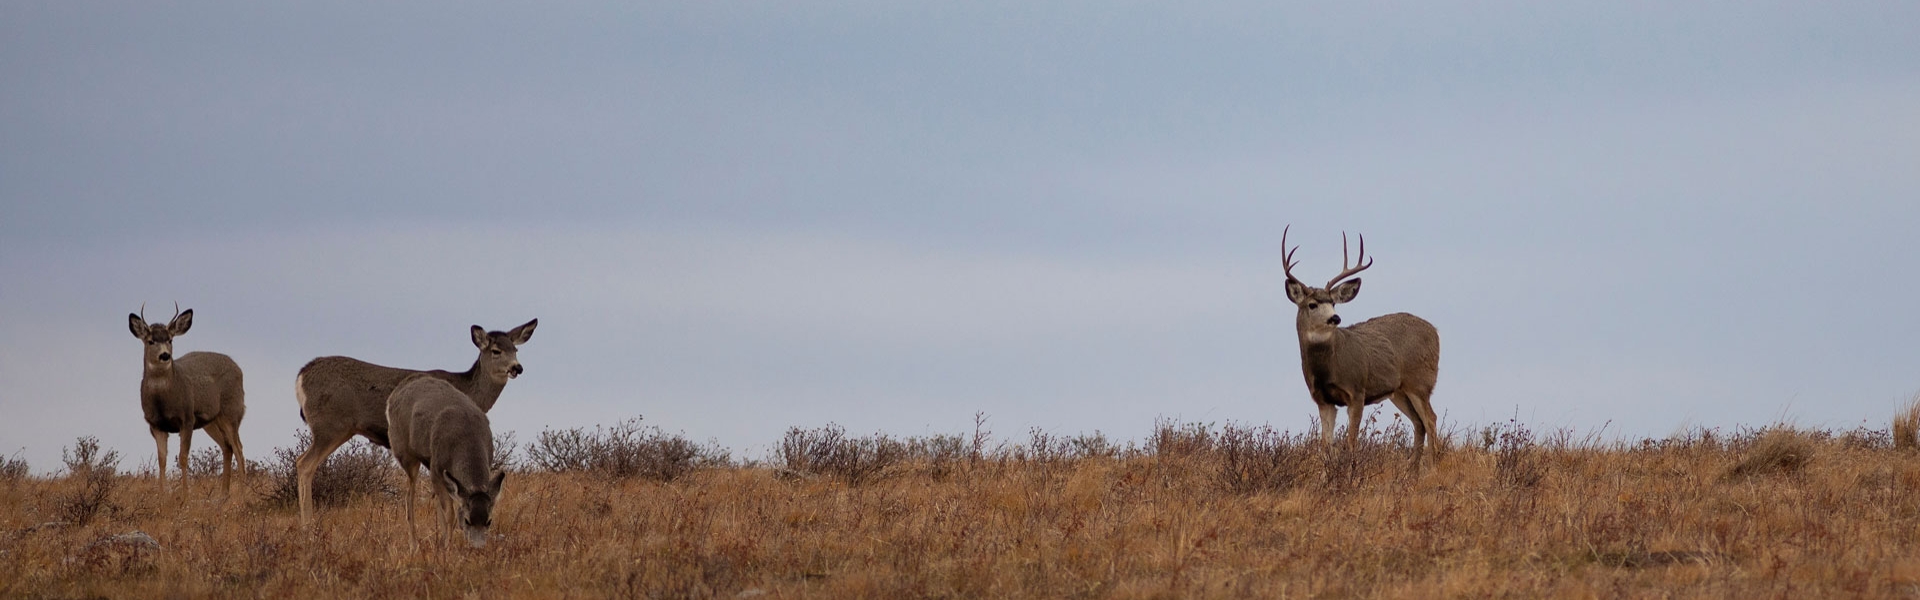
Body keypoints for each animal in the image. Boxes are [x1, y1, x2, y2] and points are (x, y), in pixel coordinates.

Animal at [126, 304, 247, 495]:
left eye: (170, 340)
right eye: (151, 341)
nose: (165, 355)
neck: (163, 403)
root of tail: (238, 368)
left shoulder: (187, 418)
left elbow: (183, 457)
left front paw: (185, 496)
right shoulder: (155, 424)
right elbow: (162, 461)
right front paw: (163, 496)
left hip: (232, 411)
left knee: (239, 448)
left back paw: (242, 495)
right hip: (210, 421)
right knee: (226, 447)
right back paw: (222, 496)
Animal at [293, 319, 535, 526]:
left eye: (515, 350)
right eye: (496, 351)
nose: (517, 367)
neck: (468, 391)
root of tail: (301, 375)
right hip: (330, 426)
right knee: (304, 463)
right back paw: (307, 525)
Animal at [387, 374, 505, 549]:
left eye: (489, 521)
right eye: (467, 521)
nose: (477, 547)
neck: (467, 438)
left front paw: (443, 543)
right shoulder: (437, 469)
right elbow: (450, 514)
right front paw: (448, 547)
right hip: (405, 453)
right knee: (409, 497)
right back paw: (414, 545)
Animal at [1280, 226, 1442, 465]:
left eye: (1333, 302)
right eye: (1312, 304)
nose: (1335, 318)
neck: (1329, 367)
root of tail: (1436, 332)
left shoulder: (1356, 391)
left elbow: (1351, 443)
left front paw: (1350, 470)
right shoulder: (1323, 400)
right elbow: (1326, 446)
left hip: (1420, 381)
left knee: (1430, 418)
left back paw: (1431, 467)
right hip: (1399, 391)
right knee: (1419, 423)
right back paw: (1411, 470)